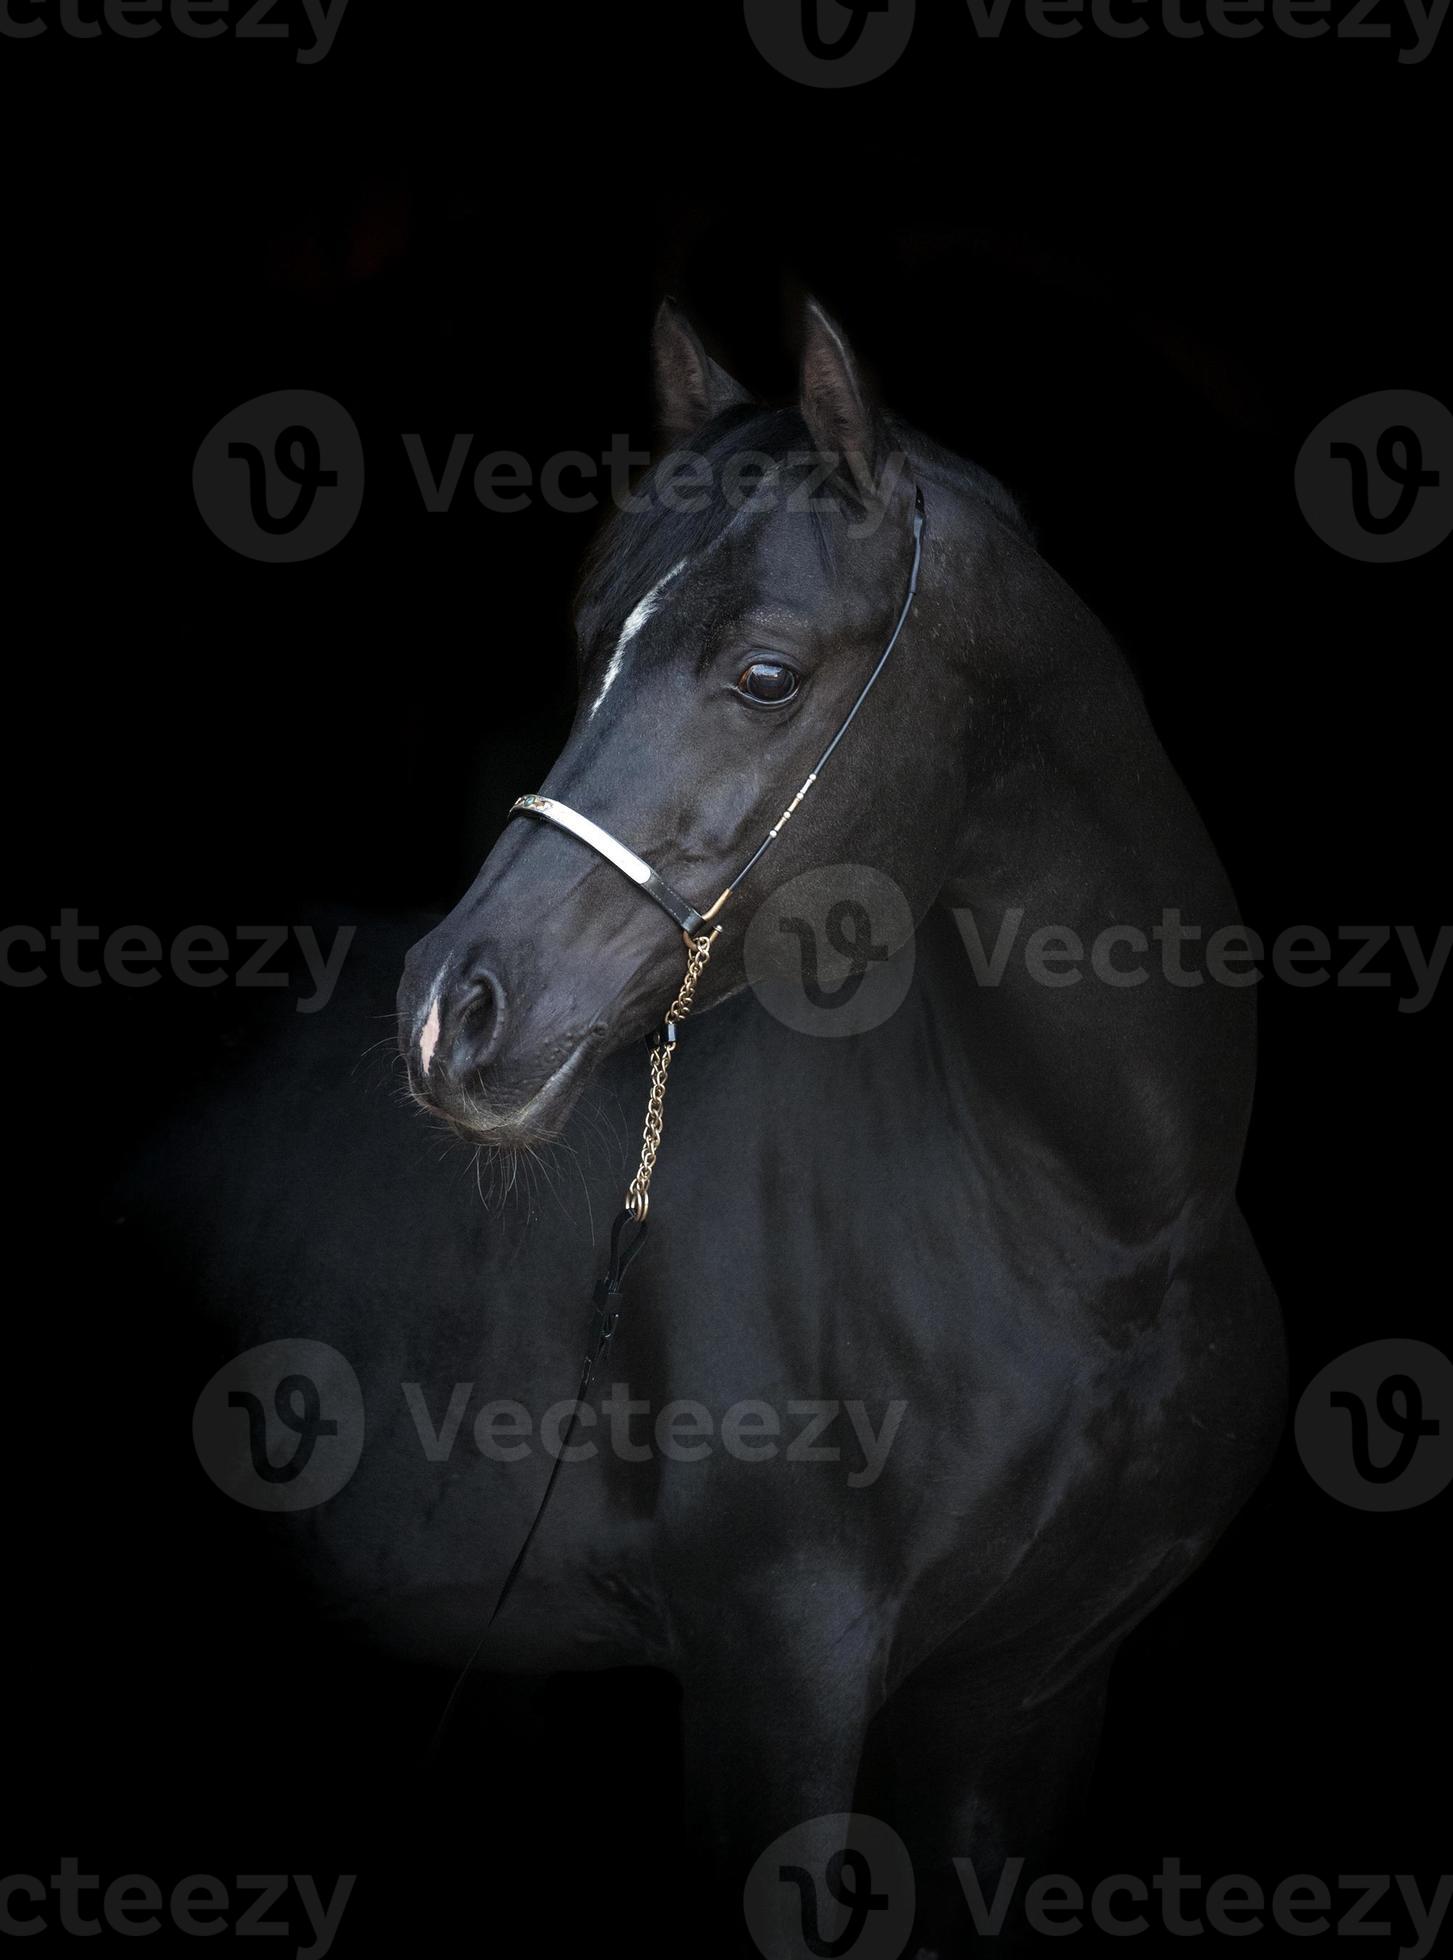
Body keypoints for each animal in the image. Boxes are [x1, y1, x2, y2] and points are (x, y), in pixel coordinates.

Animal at [148, 299, 1286, 1955]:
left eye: (762, 672)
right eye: (590, 644)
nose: (449, 1011)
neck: (1100, 1230)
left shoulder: (1027, 1703)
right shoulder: (781, 1660)